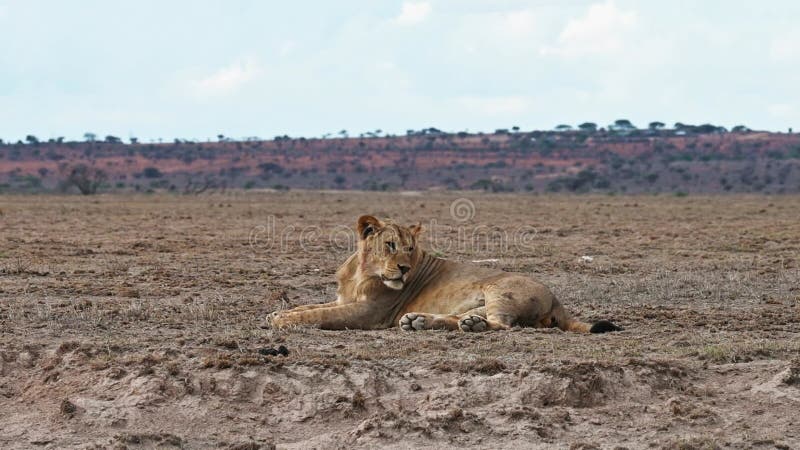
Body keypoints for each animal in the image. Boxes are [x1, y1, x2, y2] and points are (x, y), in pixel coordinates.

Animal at [269, 215, 621, 333]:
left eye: (411, 248)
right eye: (391, 245)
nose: (404, 268)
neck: (361, 272)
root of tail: (557, 298)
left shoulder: (369, 312)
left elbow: (318, 315)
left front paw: (283, 321)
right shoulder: (345, 298)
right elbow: (311, 307)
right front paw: (276, 313)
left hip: (500, 290)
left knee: (501, 325)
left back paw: (470, 326)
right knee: (466, 319)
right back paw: (420, 321)